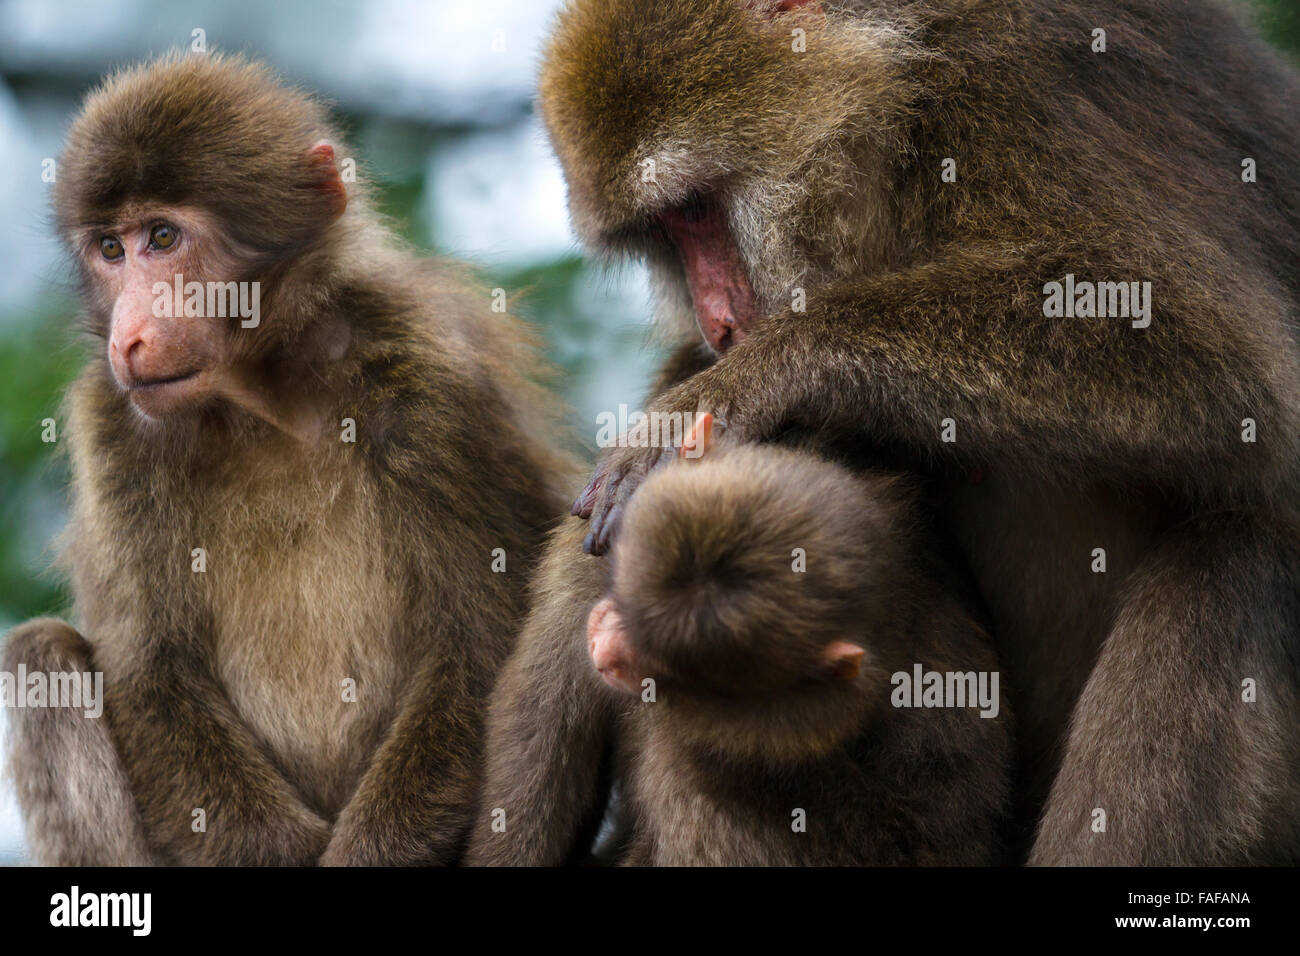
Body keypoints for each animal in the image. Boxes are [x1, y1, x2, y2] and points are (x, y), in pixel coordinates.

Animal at [1, 52, 575, 866]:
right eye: (111, 249)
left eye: (162, 237)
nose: (128, 335)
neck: (261, 397)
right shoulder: (110, 423)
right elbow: (152, 672)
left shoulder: (429, 373)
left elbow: (477, 648)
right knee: (38, 656)